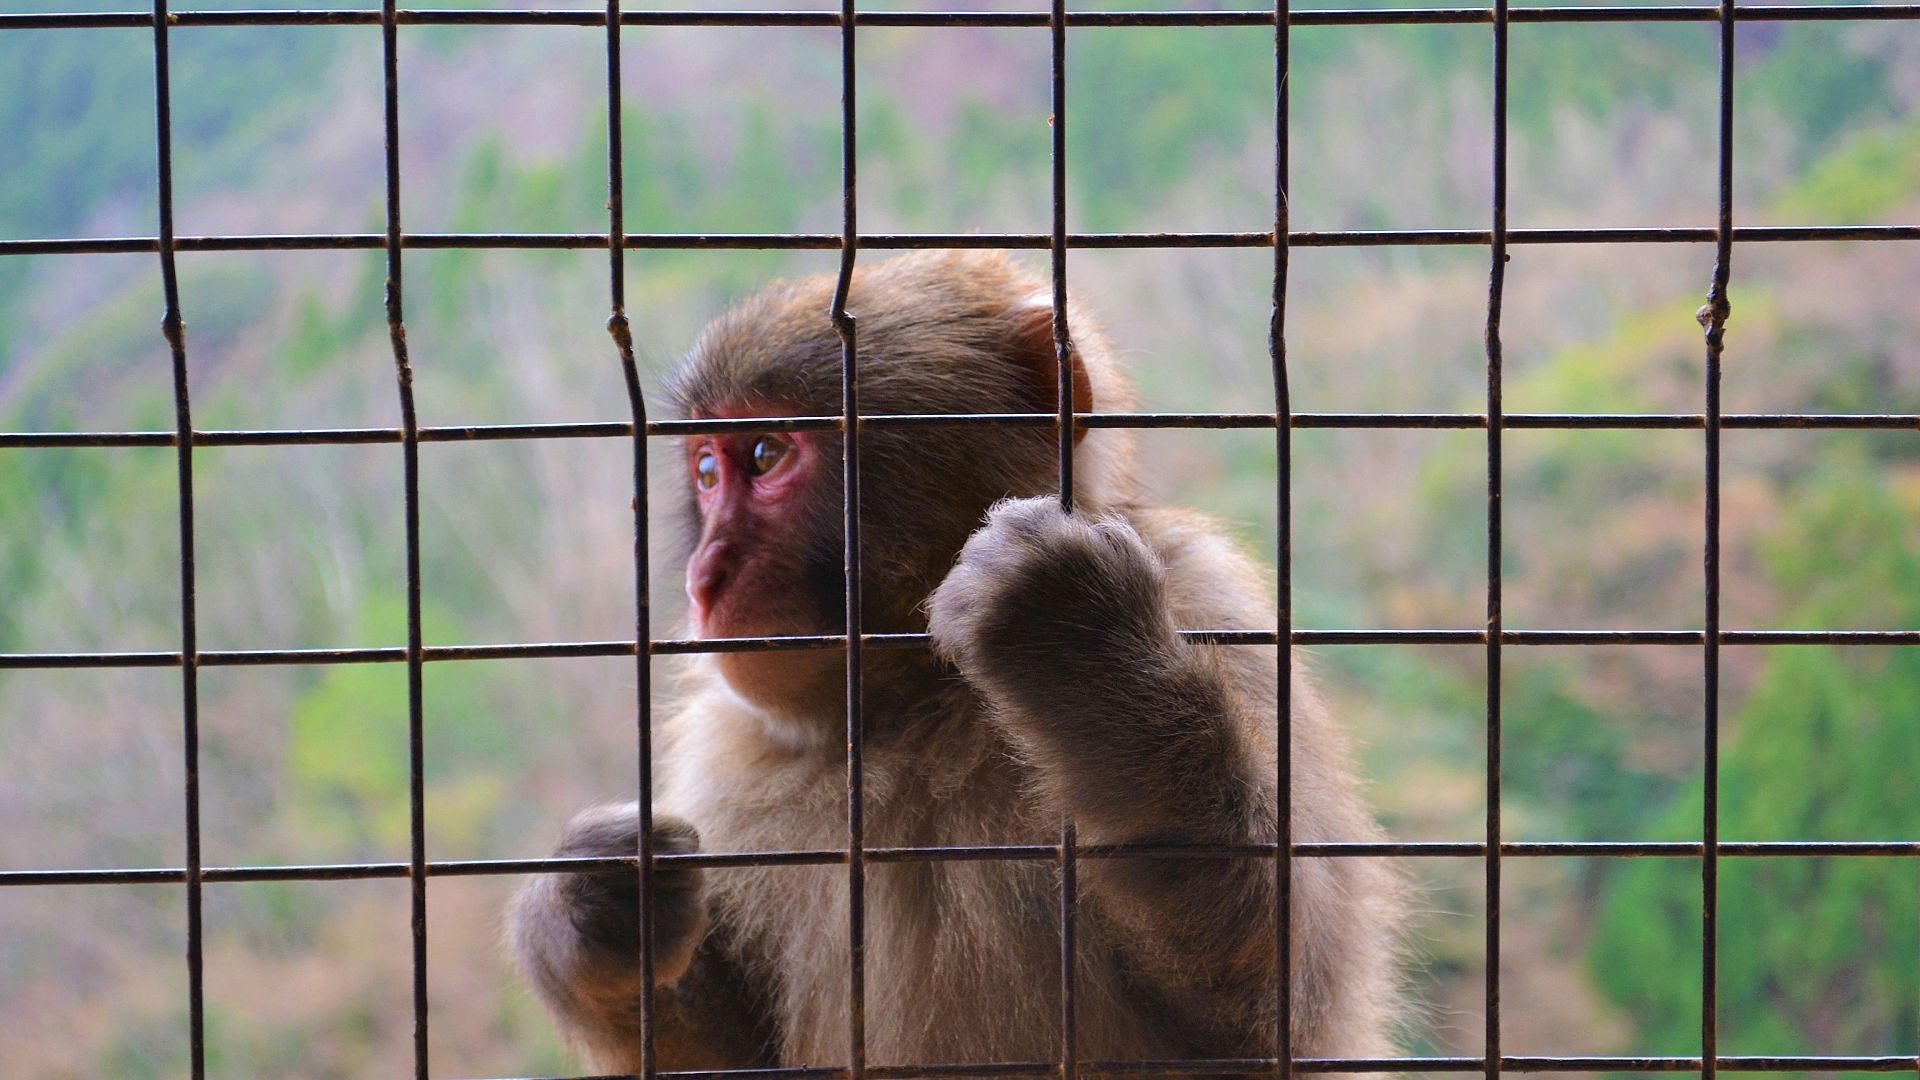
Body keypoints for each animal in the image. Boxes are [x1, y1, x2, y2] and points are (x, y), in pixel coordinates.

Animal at [508, 250, 1404, 1074]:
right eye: (705, 470)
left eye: (762, 457)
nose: (705, 577)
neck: (916, 703)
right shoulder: (731, 748)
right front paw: (588, 917)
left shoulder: (1208, 601)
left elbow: (1275, 1011)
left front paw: (1078, 645)